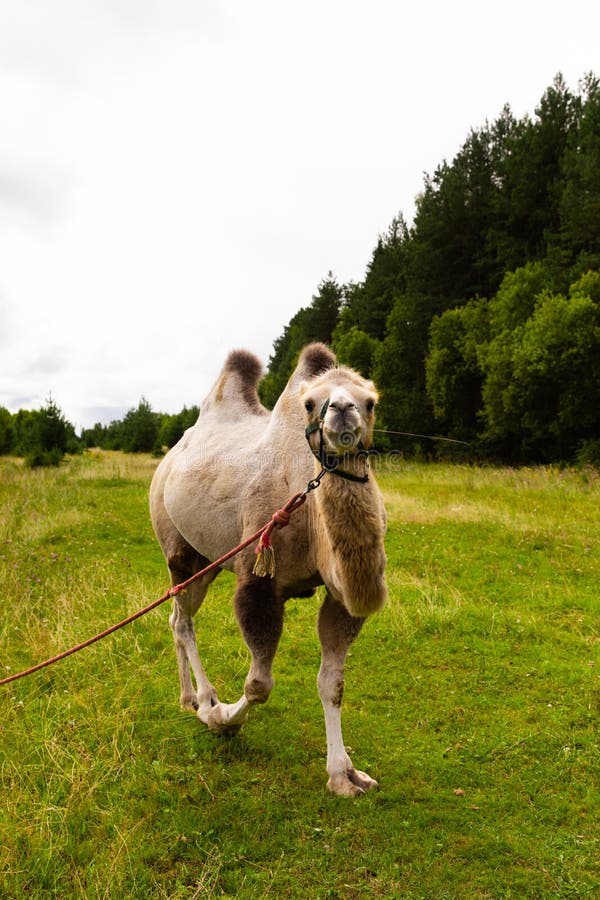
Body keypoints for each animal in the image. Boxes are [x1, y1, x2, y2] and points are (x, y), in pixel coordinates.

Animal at [149, 343, 388, 796]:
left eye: (371, 402)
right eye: (310, 402)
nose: (342, 411)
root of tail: (171, 455)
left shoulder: (339, 596)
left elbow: (333, 683)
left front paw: (344, 775)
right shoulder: (258, 583)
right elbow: (259, 685)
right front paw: (221, 720)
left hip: (209, 559)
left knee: (174, 616)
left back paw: (188, 698)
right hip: (178, 547)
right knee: (182, 620)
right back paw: (202, 700)